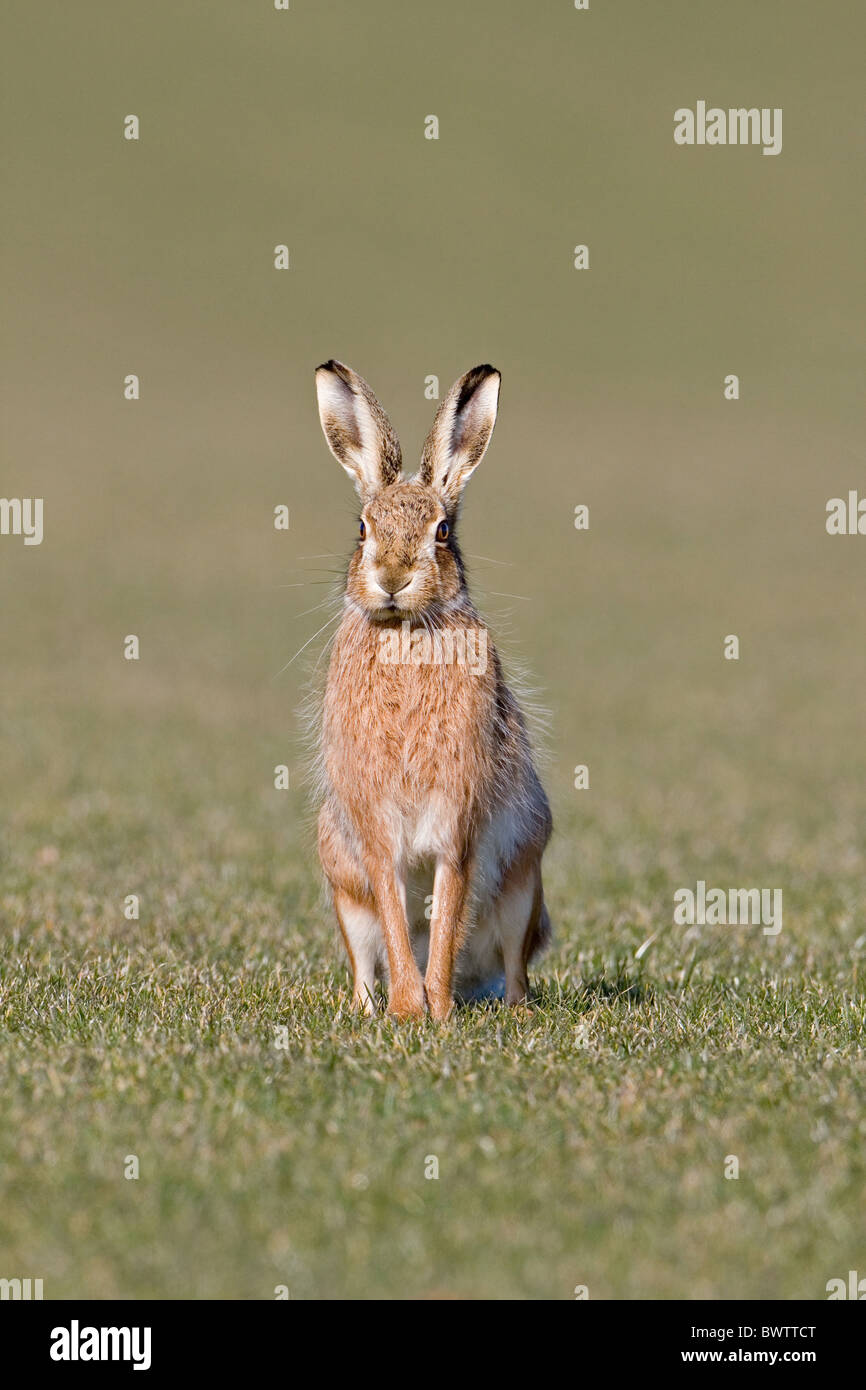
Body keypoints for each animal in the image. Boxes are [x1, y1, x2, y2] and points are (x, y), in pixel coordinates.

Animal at [314, 360, 552, 1020]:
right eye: (362, 528)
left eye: (442, 531)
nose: (392, 578)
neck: (405, 631)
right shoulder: (374, 831)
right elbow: (397, 916)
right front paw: (408, 1010)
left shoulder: (459, 823)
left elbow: (446, 914)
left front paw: (437, 1011)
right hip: (341, 881)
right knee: (362, 963)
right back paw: (370, 1010)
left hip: (524, 885)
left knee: (514, 966)